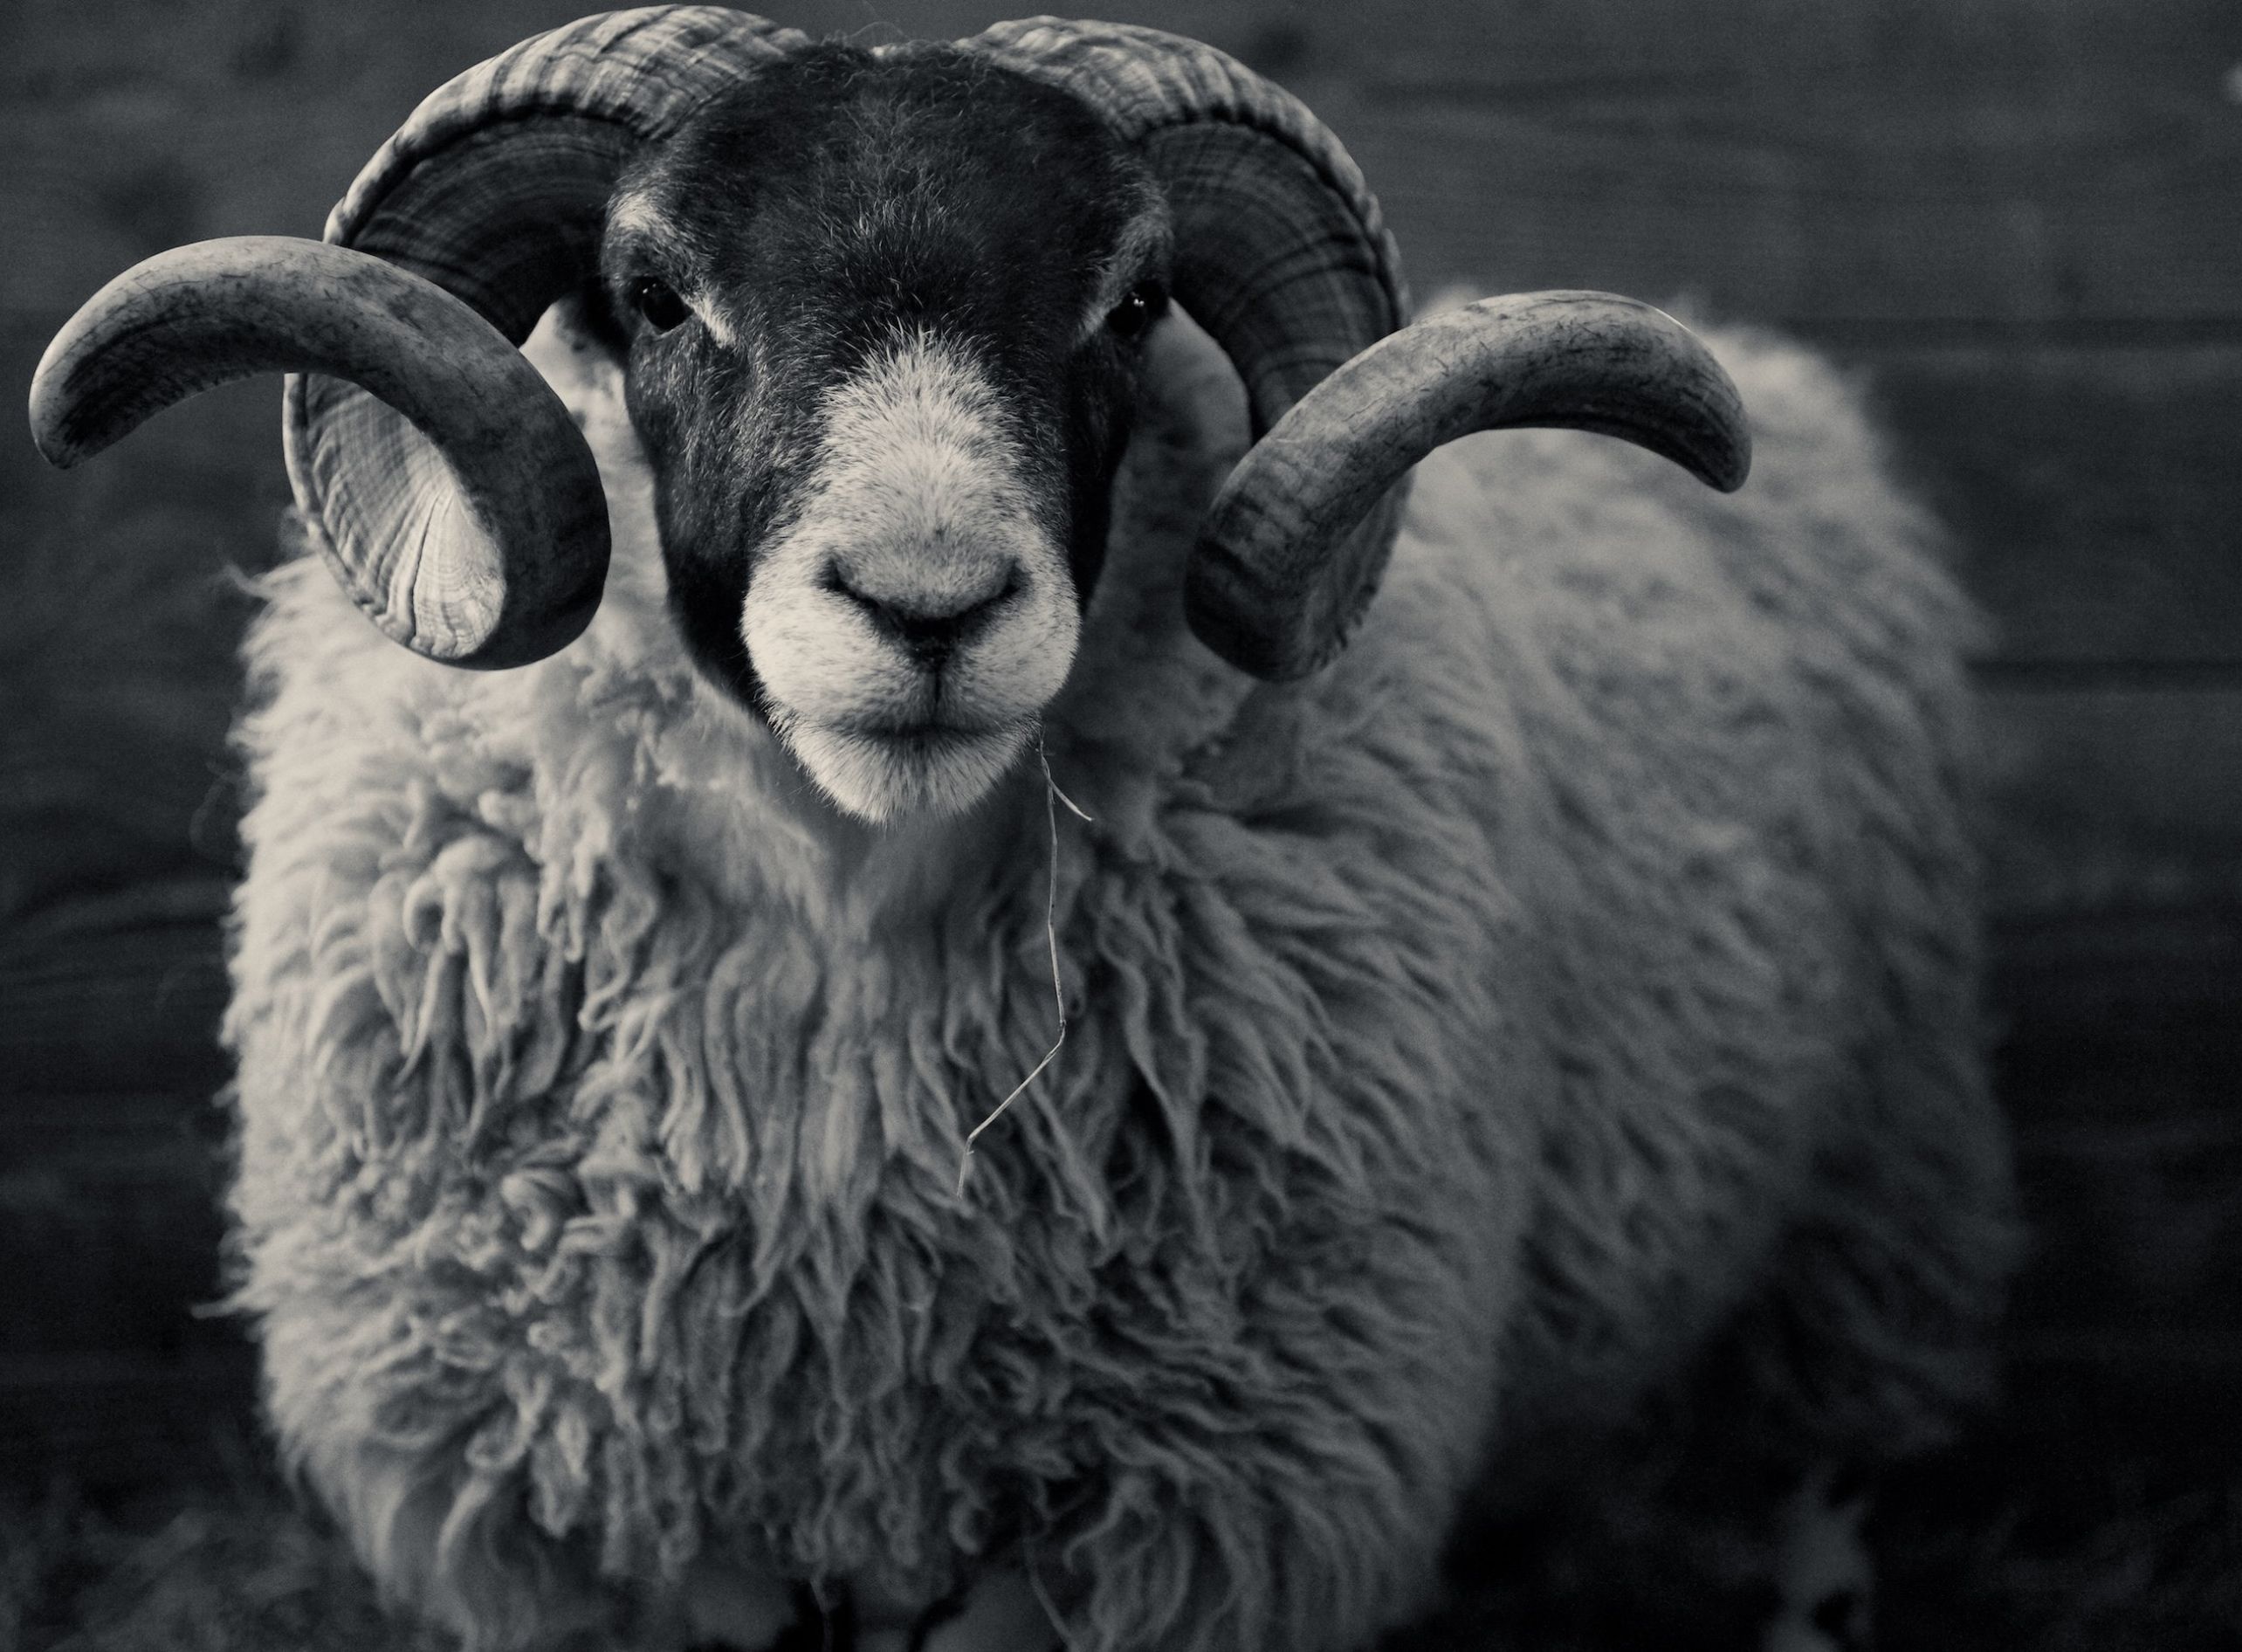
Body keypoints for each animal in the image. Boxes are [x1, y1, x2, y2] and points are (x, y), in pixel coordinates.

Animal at [28, 8, 2017, 1651]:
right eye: (652, 294)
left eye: (1131, 303)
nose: (928, 605)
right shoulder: (625, 1515)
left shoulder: (1159, 1506)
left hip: (1870, 1196)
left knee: (1827, 1483)